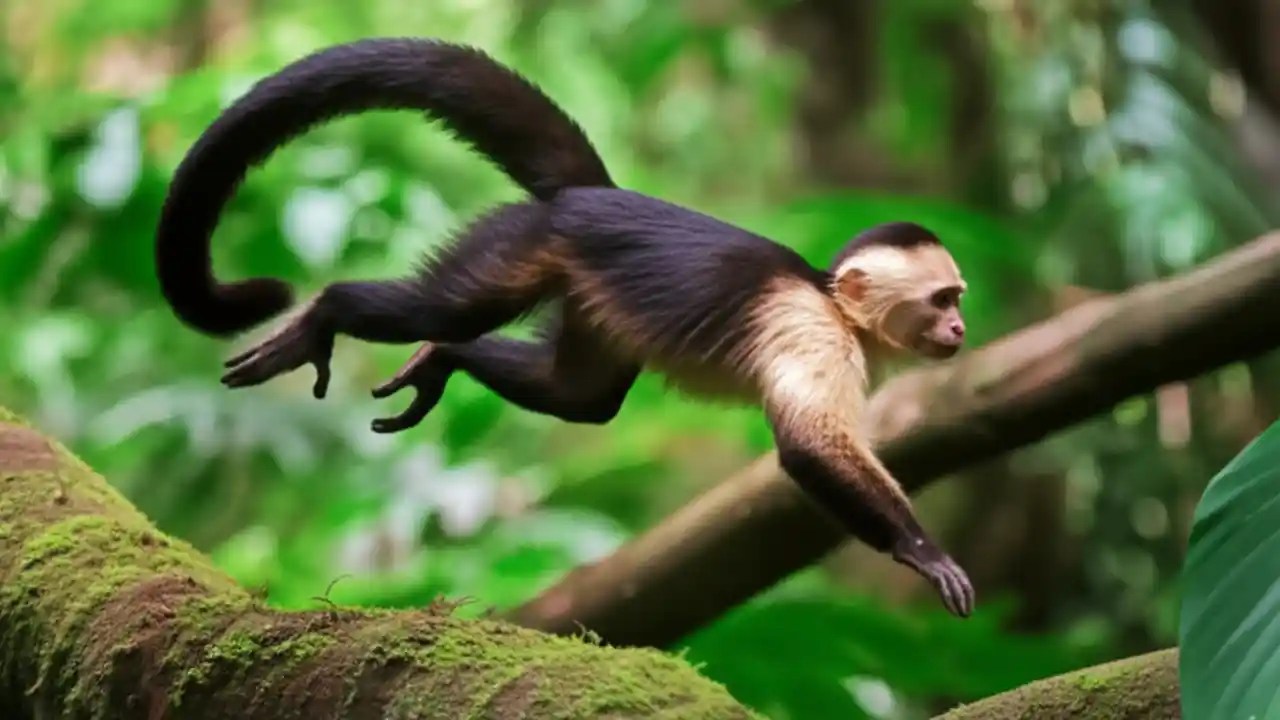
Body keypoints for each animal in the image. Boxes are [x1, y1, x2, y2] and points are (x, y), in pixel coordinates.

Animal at [154, 38, 975, 618]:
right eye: (943, 299)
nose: (963, 331)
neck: (836, 306)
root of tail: (592, 194)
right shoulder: (814, 333)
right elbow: (810, 445)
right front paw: (923, 550)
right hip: (522, 241)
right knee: (449, 310)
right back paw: (326, 316)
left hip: (590, 299)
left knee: (580, 396)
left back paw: (443, 359)